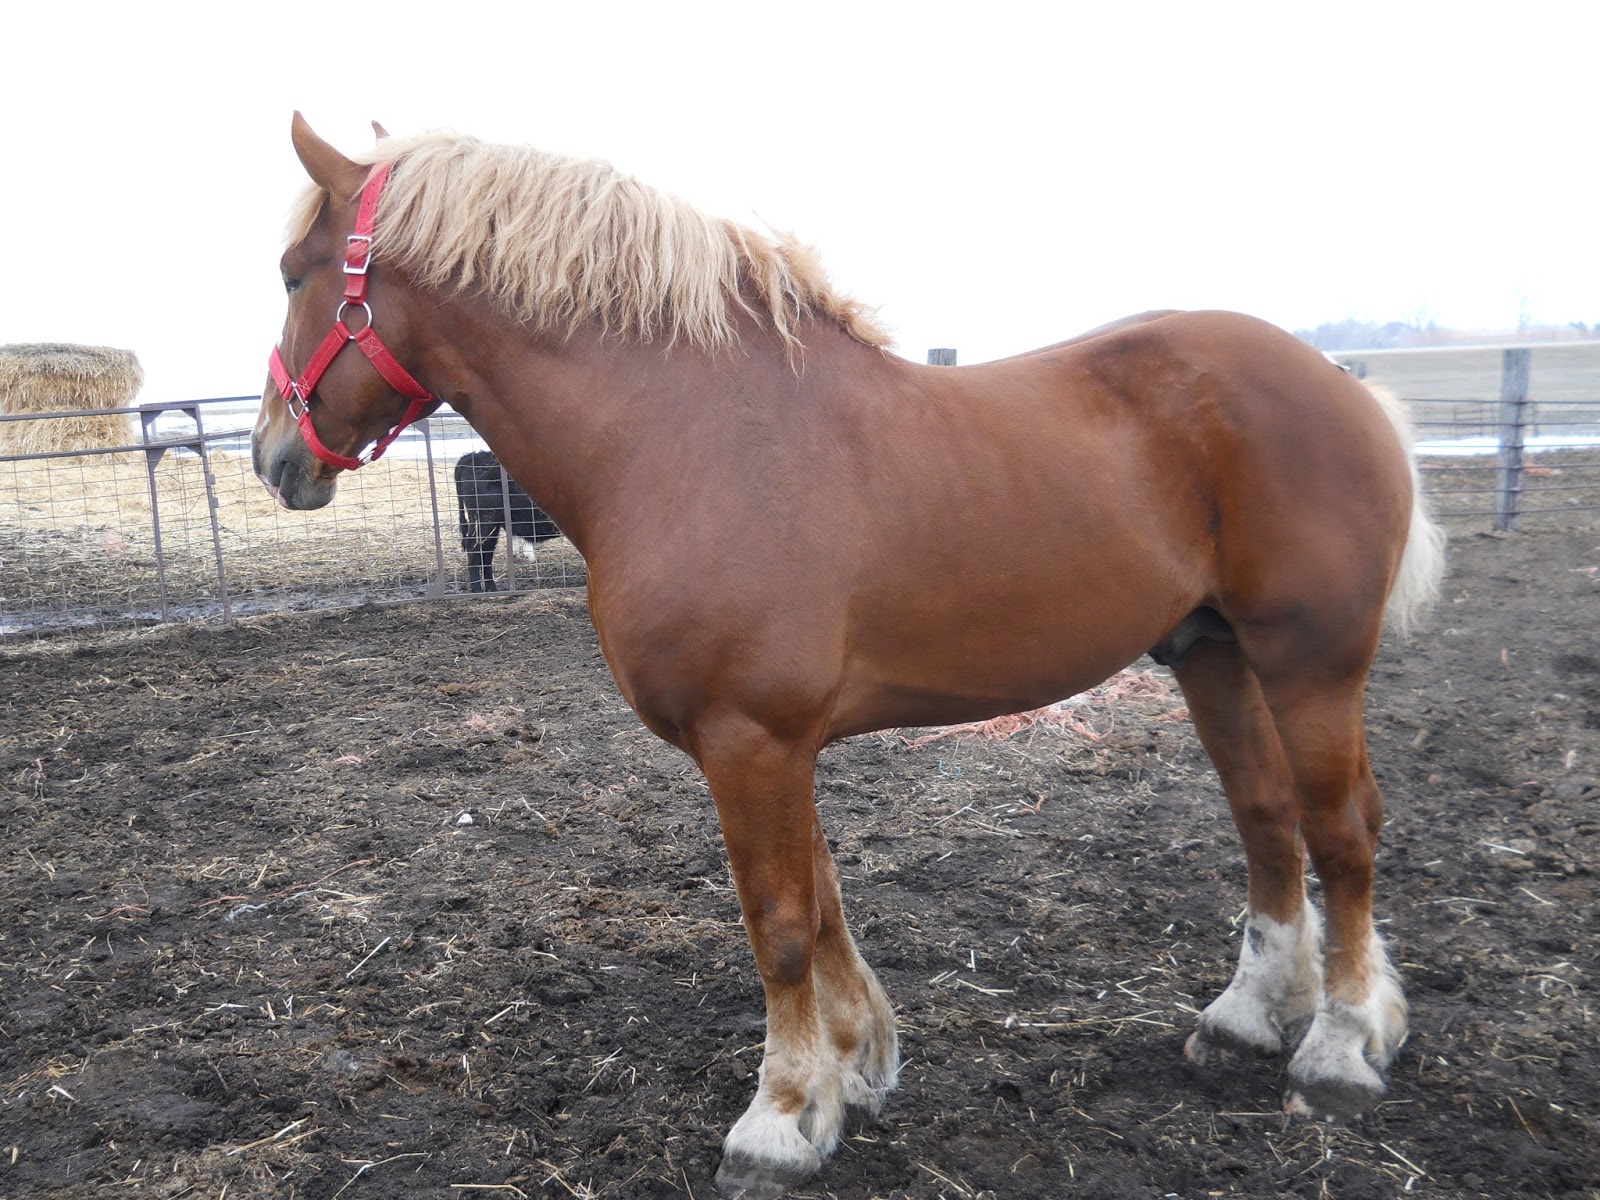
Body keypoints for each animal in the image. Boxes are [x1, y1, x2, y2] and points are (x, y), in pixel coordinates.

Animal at [454, 449, 562, 592]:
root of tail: (473, 456)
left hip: (491, 526)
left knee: (486, 554)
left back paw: (492, 588)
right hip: (485, 521)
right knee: (474, 551)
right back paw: (477, 589)